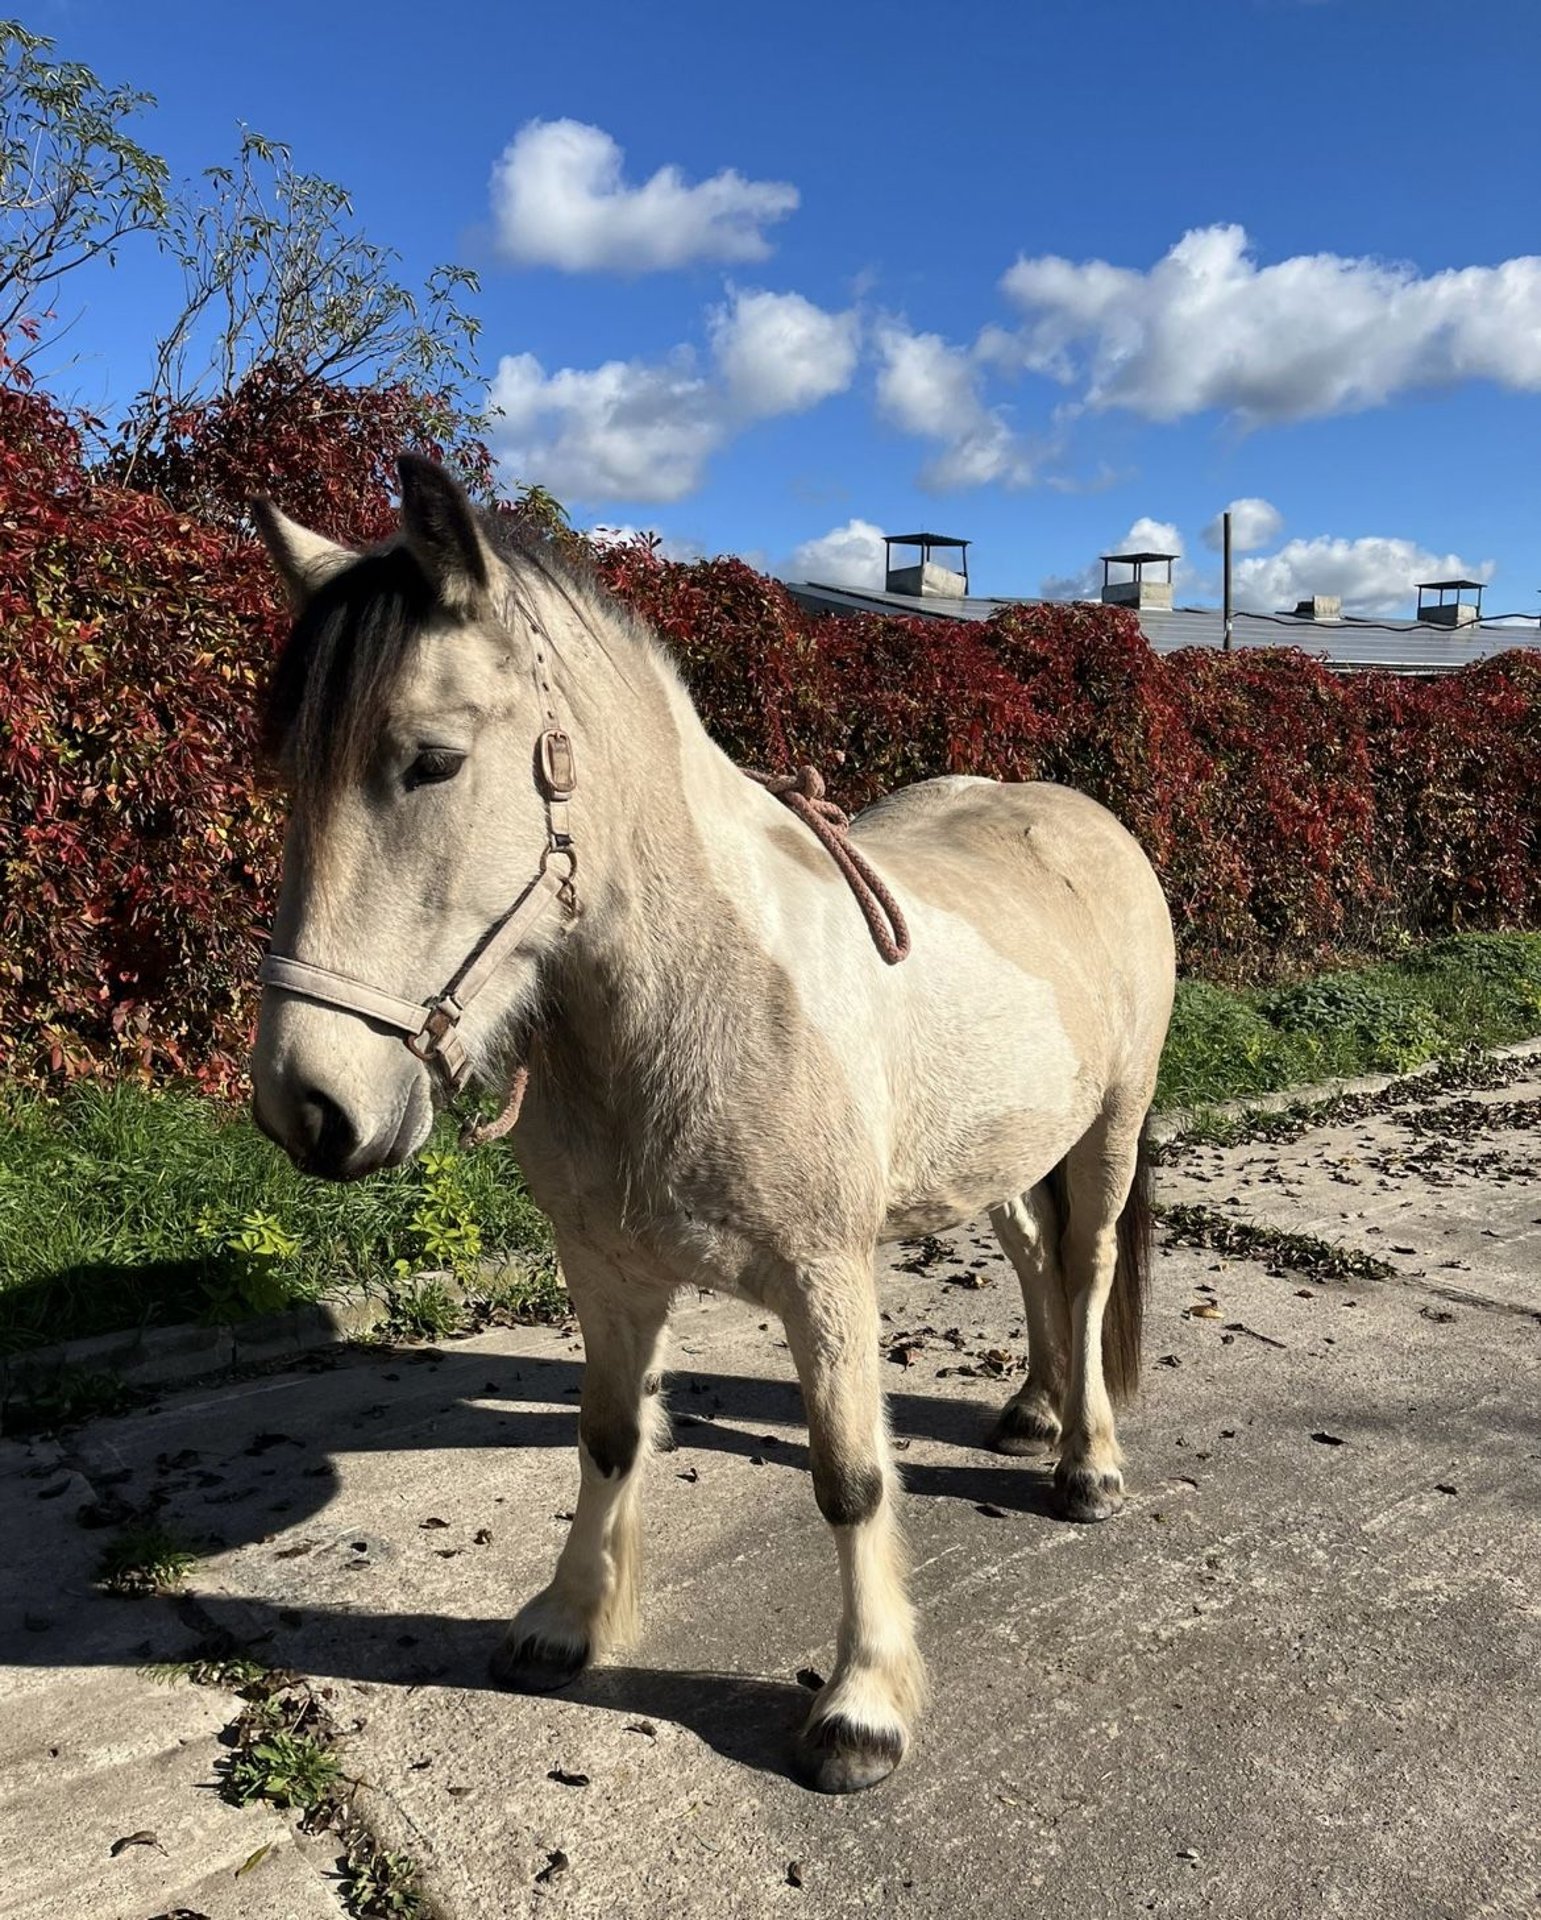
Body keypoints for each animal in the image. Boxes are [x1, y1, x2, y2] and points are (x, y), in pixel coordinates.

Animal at [250, 455, 1176, 1794]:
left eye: (430, 761)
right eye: (287, 777)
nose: (306, 1108)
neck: (691, 995)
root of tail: (1082, 820)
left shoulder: (824, 1277)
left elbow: (849, 1478)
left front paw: (861, 1704)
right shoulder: (606, 1272)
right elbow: (605, 1438)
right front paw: (565, 1622)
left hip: (1106, 1125)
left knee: (1090, 1262)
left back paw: (1086, 1460)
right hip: (999, 1150)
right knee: (1032, 1256)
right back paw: (1034, 1409)